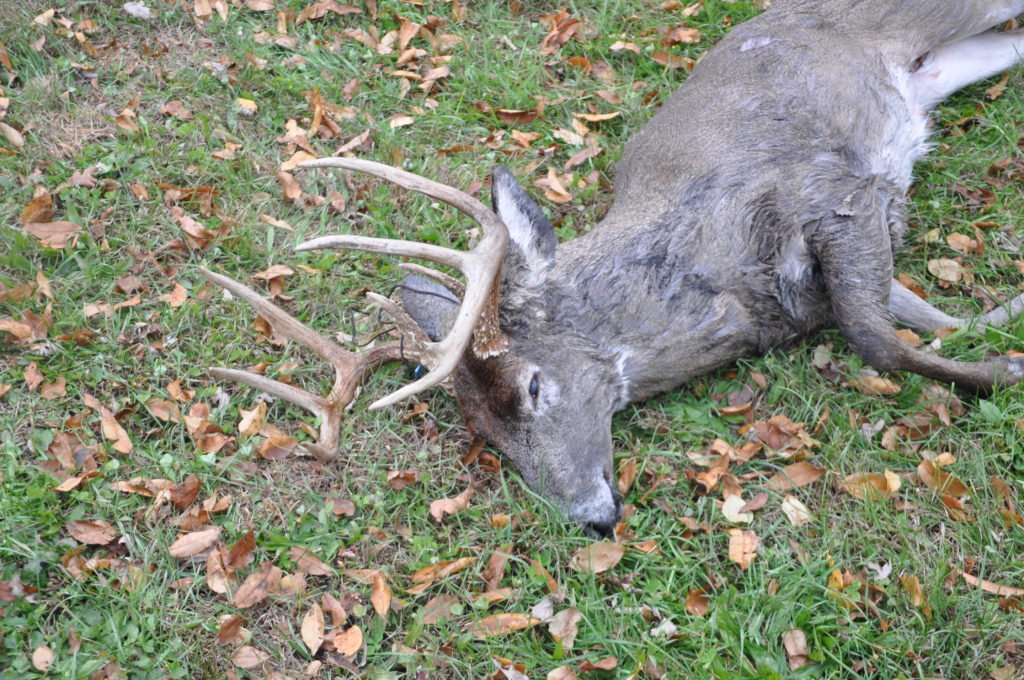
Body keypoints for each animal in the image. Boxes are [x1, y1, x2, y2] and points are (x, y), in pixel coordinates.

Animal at [201, 0, 1024, 536]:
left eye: (534, 386)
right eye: (487, 437)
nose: (593, 518)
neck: (732, 296)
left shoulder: (836, 195)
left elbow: (877, 338)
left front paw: (1006, 370)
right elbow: (922, 319)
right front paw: (1003, 331)